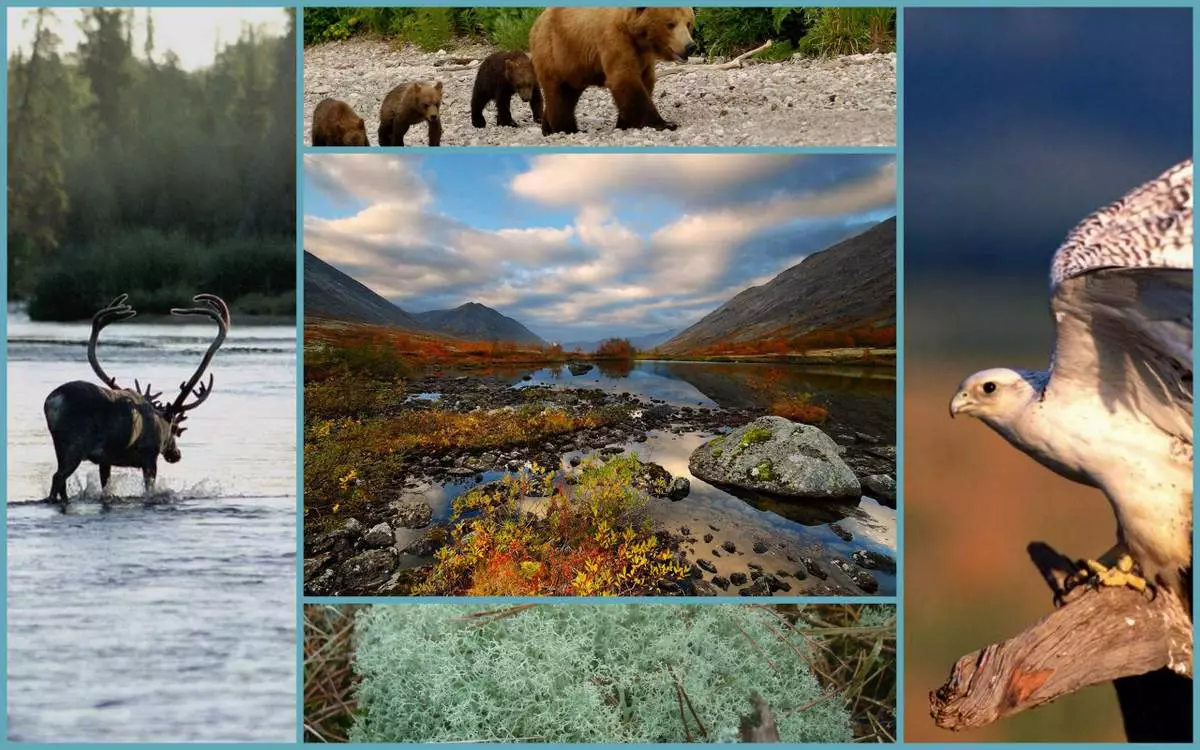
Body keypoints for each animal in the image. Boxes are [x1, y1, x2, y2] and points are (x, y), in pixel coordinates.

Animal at [530, 7, 700, 135]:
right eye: (670, 24)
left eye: (688, 23)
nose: (690, 46)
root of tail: (536, 24)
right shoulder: (615, 40)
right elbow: (625, 79)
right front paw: (665, 124)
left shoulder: (644, 55)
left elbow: (645, 80)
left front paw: (624, 123)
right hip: (555, 52)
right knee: (560, 93)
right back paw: (568, 129)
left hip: (574, 66)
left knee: (567, 92)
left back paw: (547, 128)